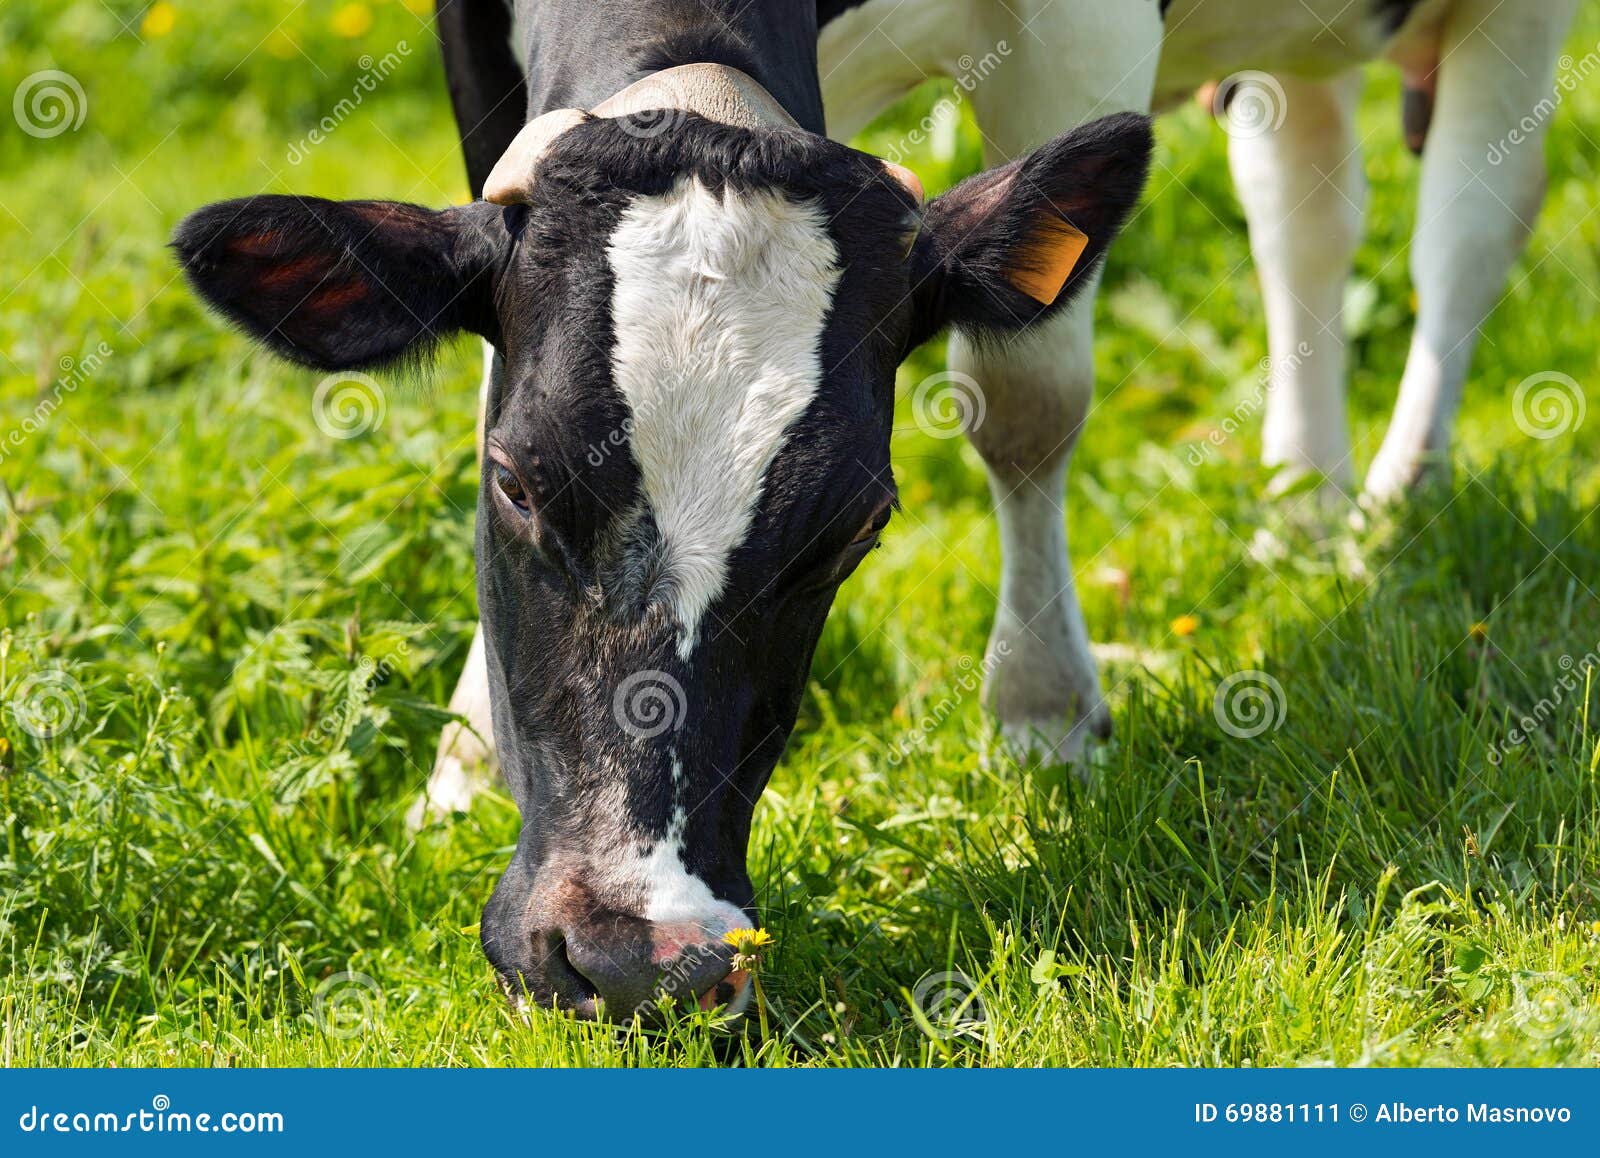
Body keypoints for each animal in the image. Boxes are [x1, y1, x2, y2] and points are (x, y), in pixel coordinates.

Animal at [173, 0, 1577, 1019]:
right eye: (513, 479)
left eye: (854, 527)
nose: (639, 953)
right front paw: (463, 763)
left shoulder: (1077, 31)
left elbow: (1029, 397)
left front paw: (1042, 713)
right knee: (1303, 204)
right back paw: (1305, 512)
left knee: (1462, 235)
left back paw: (1395, 508)